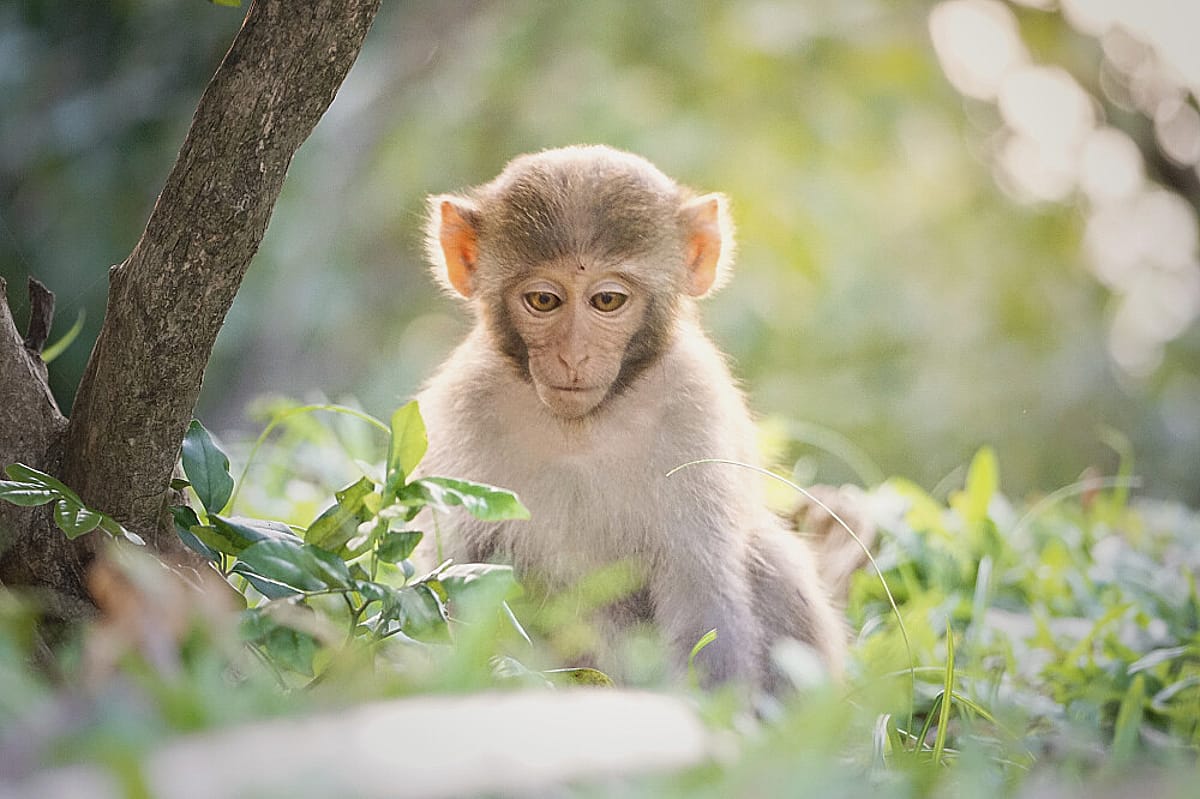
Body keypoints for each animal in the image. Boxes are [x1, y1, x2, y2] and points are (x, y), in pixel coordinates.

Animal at [413, 145, 846, 690]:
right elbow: (452, 569)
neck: (582, 427)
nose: (573, 356)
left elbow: (704, 597)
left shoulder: (692, 404)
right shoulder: (464, 407)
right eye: (543, 300)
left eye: (607, 300)